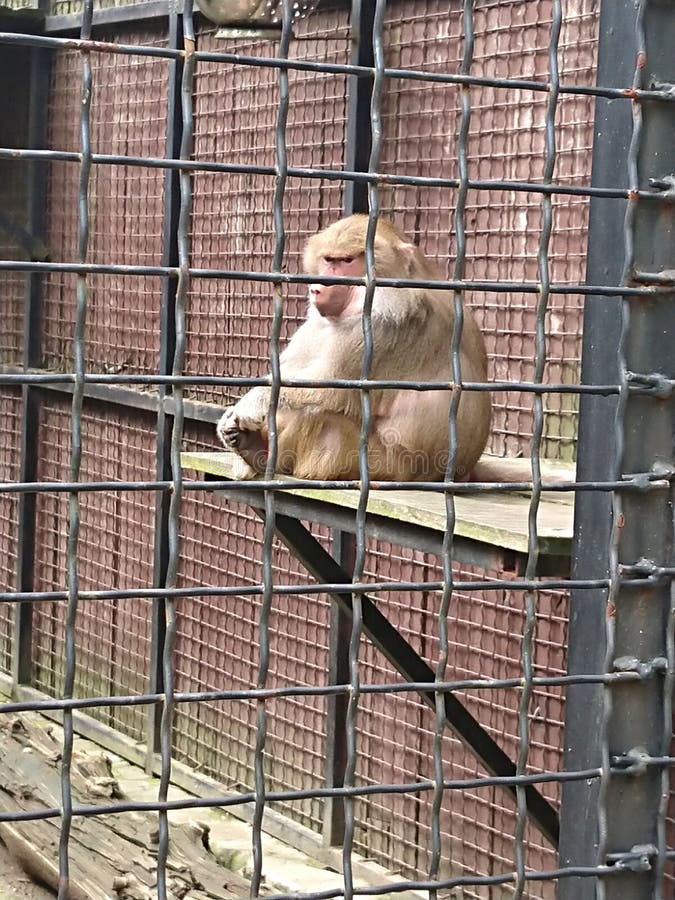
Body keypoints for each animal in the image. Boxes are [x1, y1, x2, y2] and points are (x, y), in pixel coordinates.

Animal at [217, 214, 492, 482]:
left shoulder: (384, 326)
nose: (317, 288)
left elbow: (325, 386)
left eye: (347, 261)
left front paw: (250, 404)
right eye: (329, 260)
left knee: (314, 415)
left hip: (378, 462)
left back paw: (259, 453)